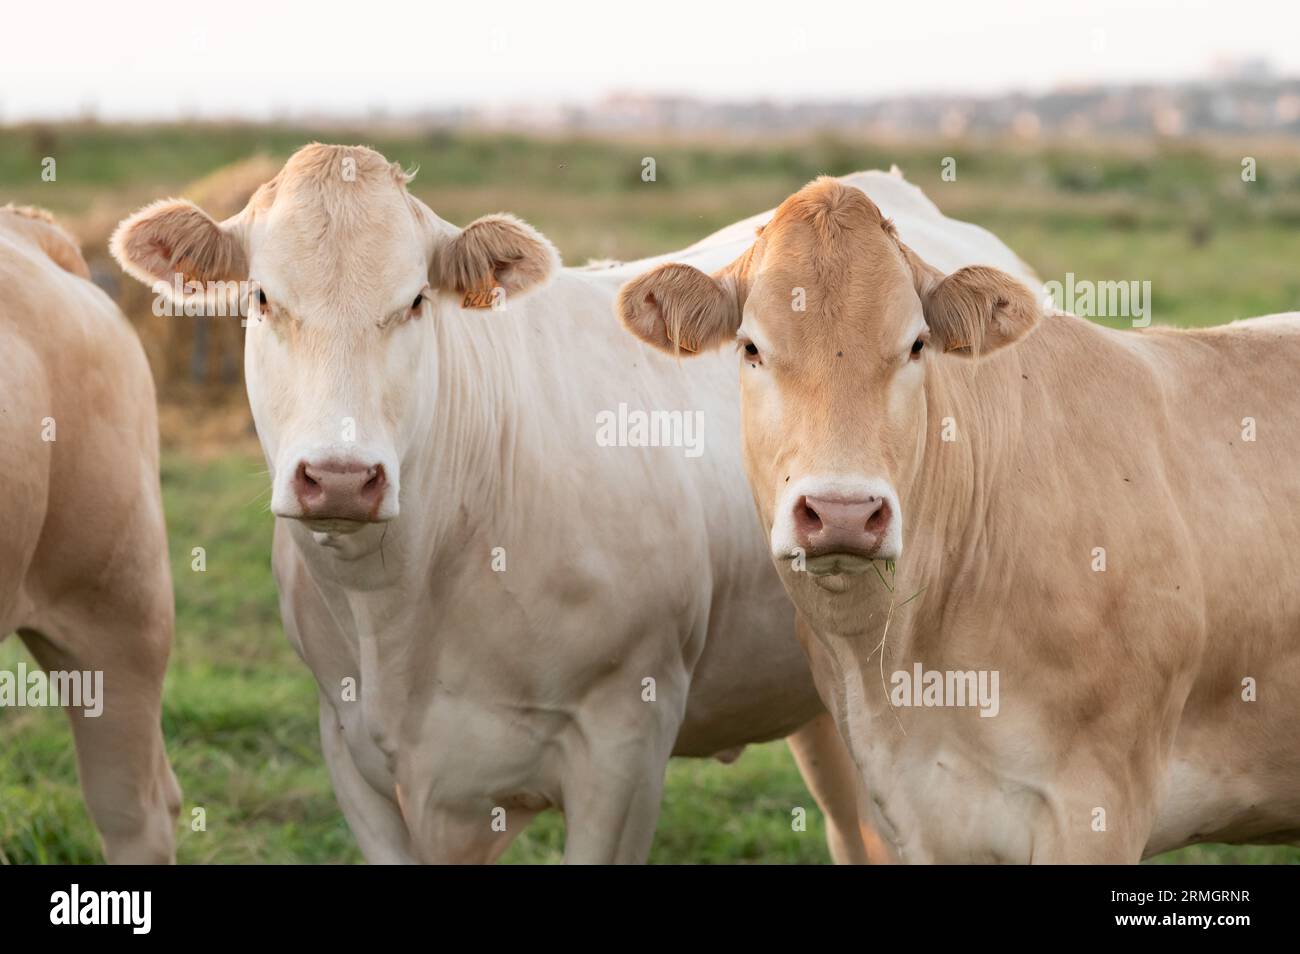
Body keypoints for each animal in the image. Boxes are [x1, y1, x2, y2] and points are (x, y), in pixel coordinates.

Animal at [110, 147, 1027, 863]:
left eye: (414, 302)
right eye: (264, 299)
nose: (339, 477)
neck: (406, 602)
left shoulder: (623, 741)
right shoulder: (354, 752)